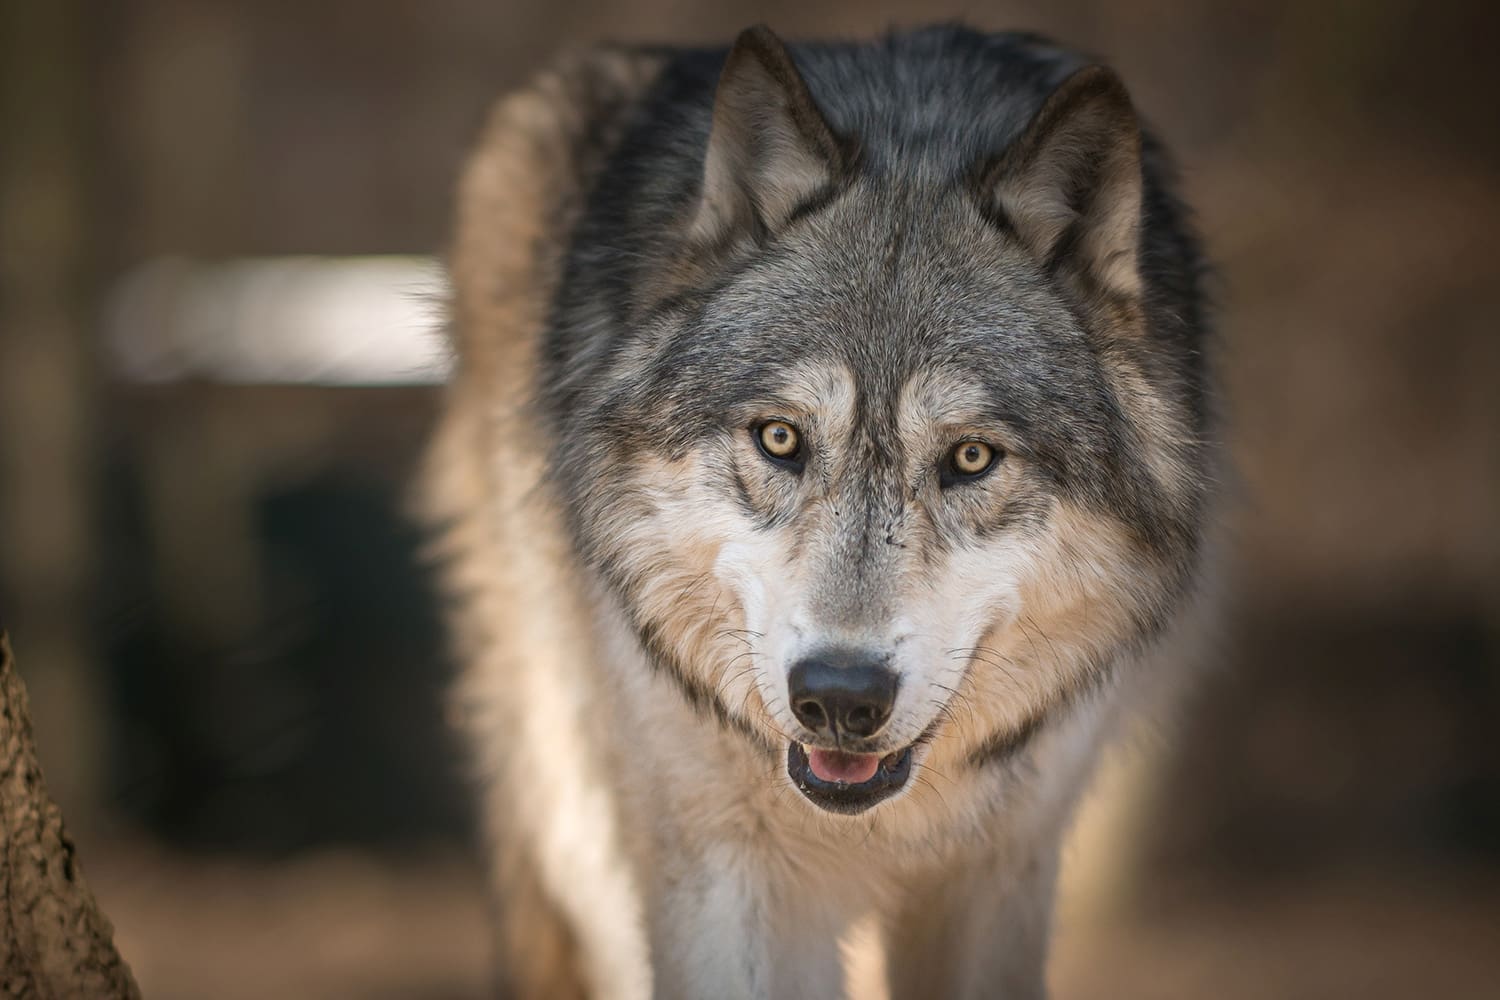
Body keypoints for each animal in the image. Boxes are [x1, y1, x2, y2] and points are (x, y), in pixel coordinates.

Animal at [421, 22, 1214, 1000]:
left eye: (971, 457)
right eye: (781, 439)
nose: (839, 698)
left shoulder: (1000, 877)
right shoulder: (725, 873)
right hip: (575, 806)